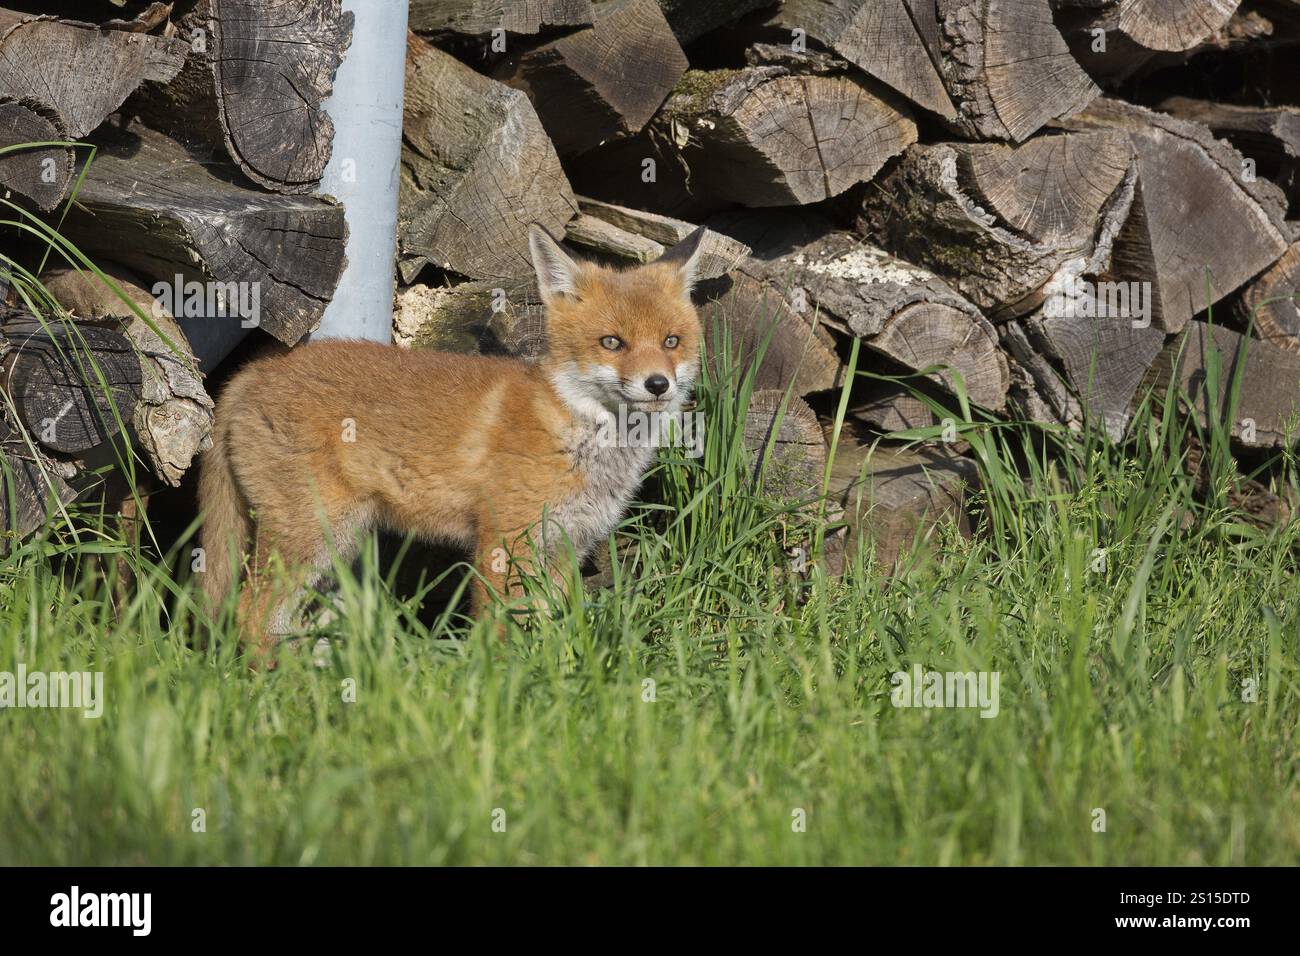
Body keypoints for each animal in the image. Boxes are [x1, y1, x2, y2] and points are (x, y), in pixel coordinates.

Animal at [199, 223, 707, 658]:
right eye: (612, 343)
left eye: (671, 341)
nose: (658, 384)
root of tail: (255, 371)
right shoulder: (503, 543)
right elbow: (502, 634)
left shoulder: (566, 549)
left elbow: (547, 632)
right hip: (314, 537)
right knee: (249, 617)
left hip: (332, 542)